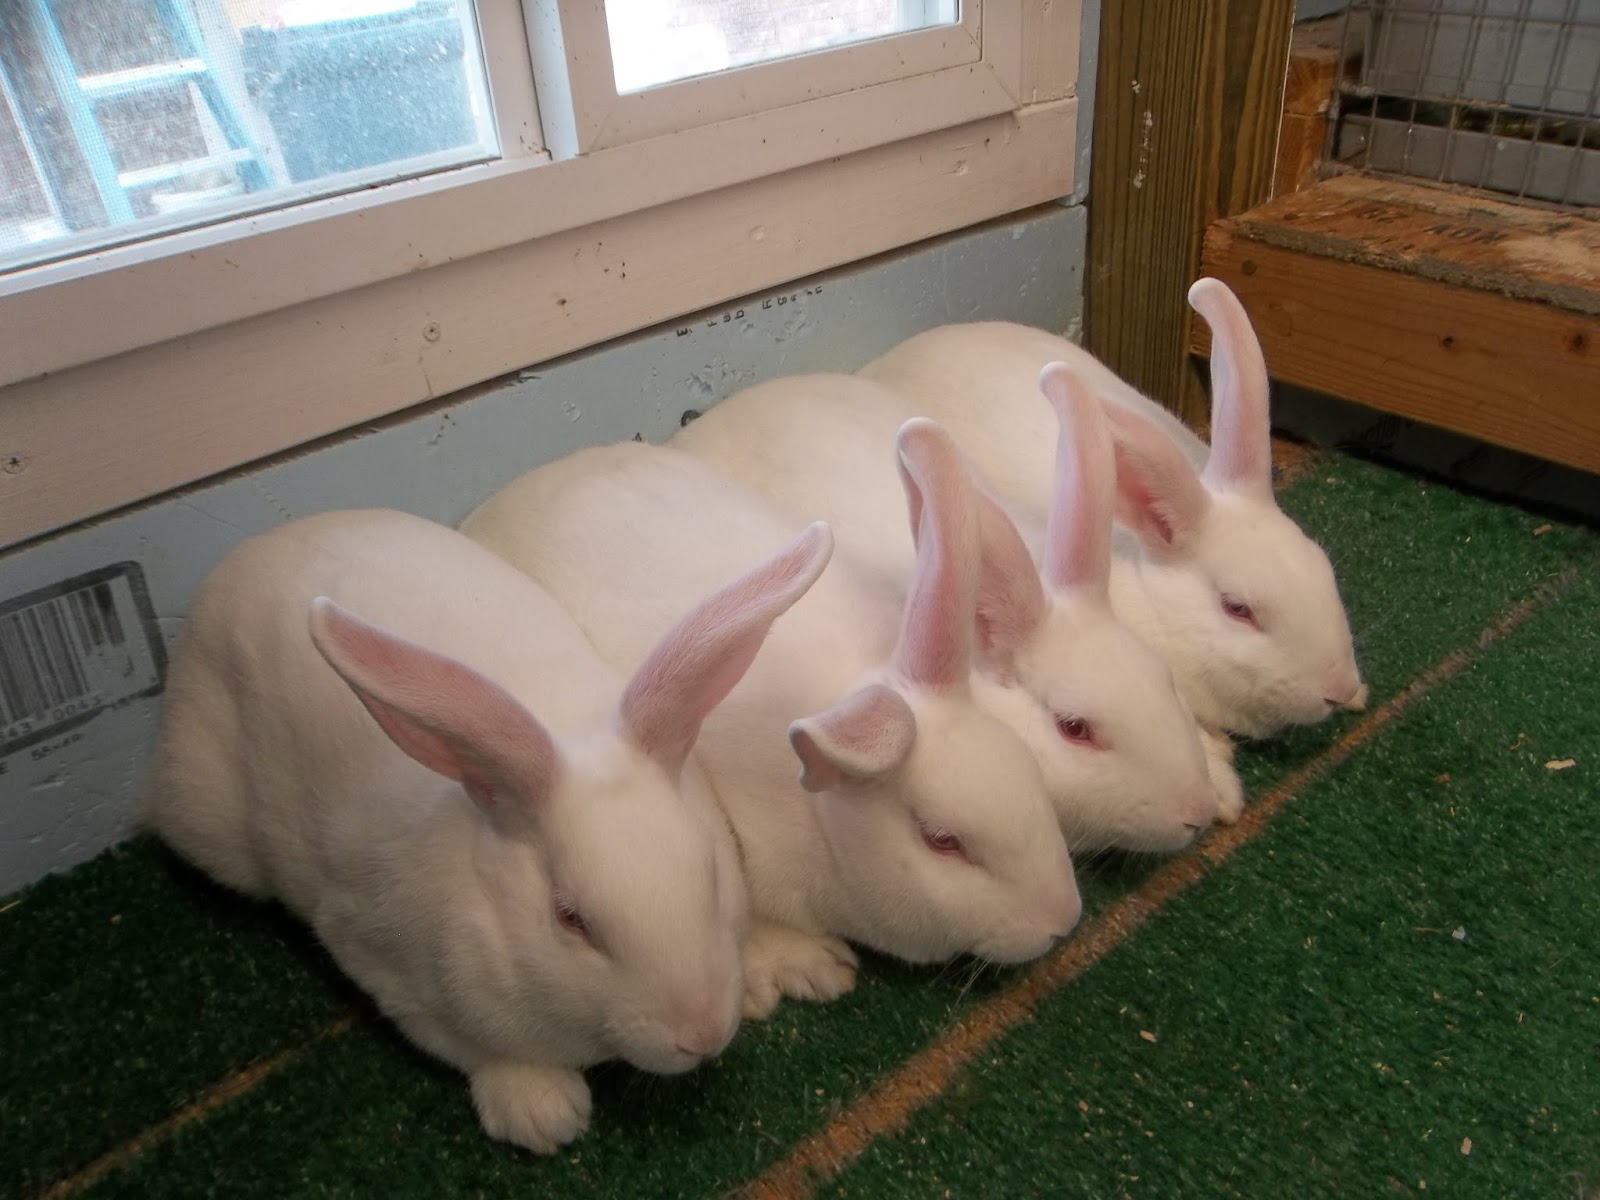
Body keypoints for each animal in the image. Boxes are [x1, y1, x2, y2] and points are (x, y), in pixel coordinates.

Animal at [144, 507, 831, 1155]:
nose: (703, 1035)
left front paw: (788, 970)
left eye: (710, 878)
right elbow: (470, 1050)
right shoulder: (381, 963)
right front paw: (543, 1112)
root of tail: (246, 554)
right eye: (570, 920)